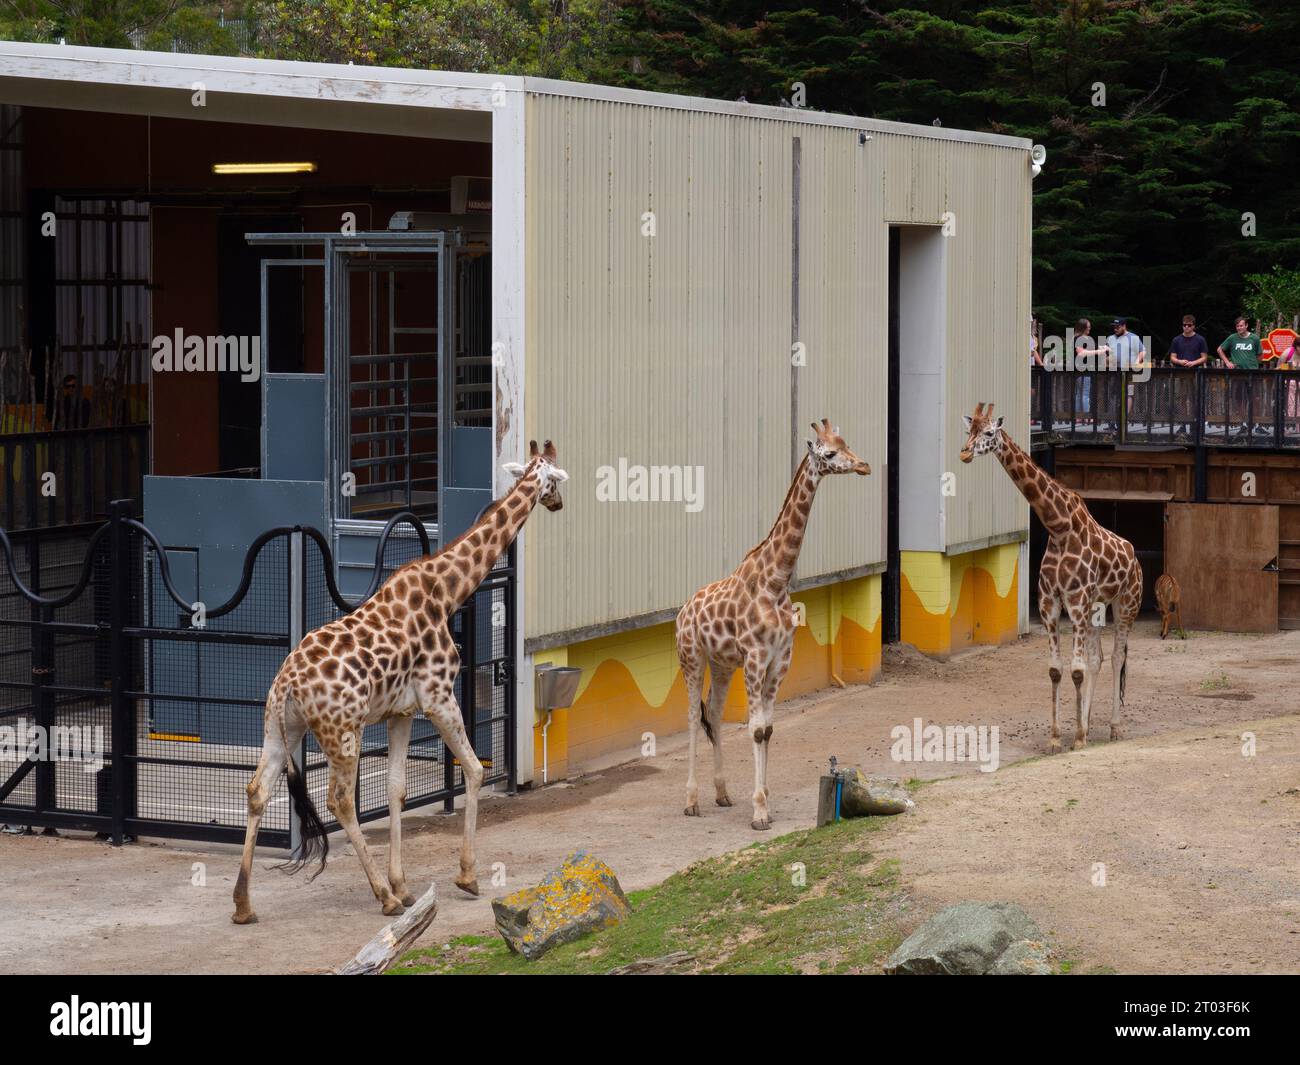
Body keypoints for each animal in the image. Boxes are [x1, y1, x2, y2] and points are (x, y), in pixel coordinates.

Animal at [232, 440, 567, 924]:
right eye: (555, 480)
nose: (559, 504)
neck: (448, 591)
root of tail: (288, 684)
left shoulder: (401, 711)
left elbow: (396, 790)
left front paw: (405, 886)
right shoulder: (438, 696)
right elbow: (472, 769)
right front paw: (464, 877)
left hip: (281, 729)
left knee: (258, 790)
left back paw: (243, 904)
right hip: (342, 733)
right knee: (339, 801)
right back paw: (381, 897)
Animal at [676, 420, 871, 830]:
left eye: (846, 443)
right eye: (830, 453)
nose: (863, 465)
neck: (776, 580)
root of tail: (682, 612)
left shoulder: (780, 658)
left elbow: (766, 728)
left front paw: (763, 800)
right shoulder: (754, 657)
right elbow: (754, 728)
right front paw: (759, 812)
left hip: (721, 664)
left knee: (712, 713)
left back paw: (722, 793)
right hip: (691, 658)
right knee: (692, 717)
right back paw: (691, 800)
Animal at [960, 403, 1142, 751]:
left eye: (988, 432)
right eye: (968, 431)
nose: (963, 453)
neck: (1059, 528)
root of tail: (1135, 557)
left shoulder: (1076, 602)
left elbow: (1076, 670)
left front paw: (1078, 739)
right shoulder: (1050, 603)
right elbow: (1058, 670)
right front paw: (1059, 737)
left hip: (1126, 603)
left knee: (1116, 657)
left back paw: (1113, 727)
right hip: (1097, 607)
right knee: (1097, 658)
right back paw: (1086, 723)